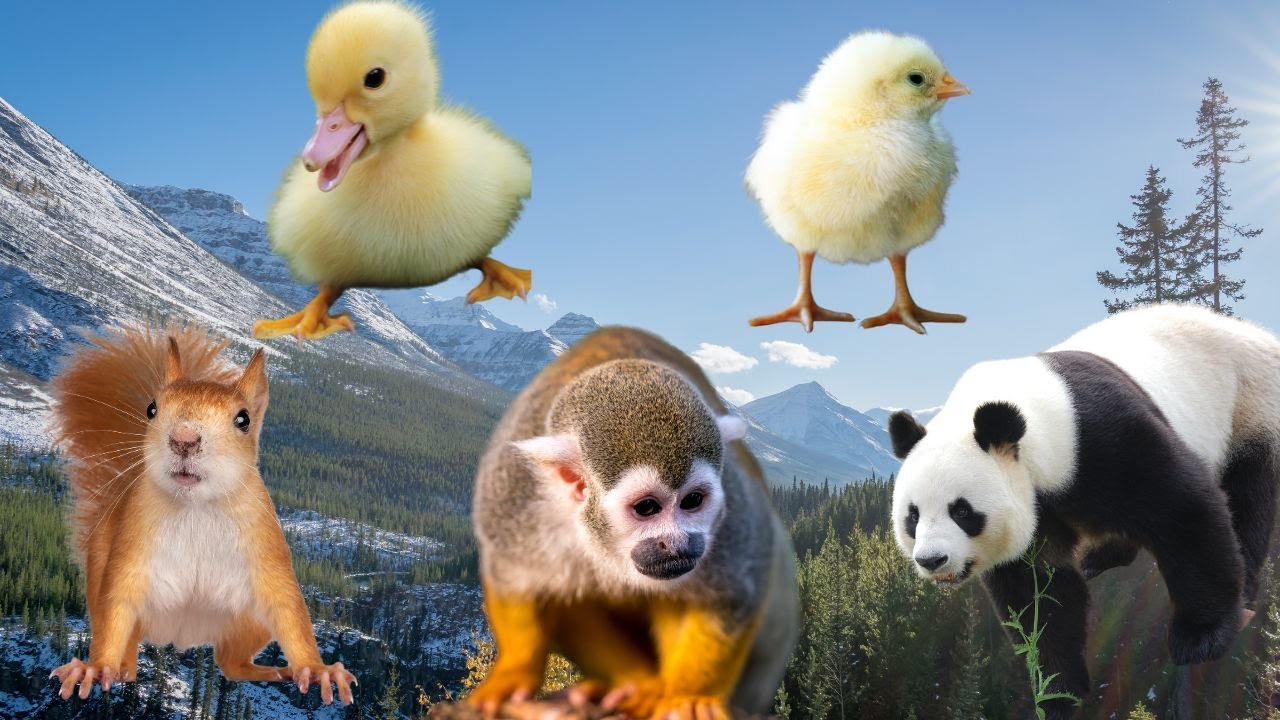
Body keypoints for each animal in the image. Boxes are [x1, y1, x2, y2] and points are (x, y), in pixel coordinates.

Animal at [889, 304, 1280, 719]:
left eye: (962, 511)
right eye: (912, 516)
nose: (932, 560)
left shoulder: (1102, 439)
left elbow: (1185, 510)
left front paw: (1201, 638)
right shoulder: (1040, 509)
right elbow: (1039, 593)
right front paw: (1056, 691)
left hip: (1248, 402)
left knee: (1245, 497)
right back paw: (1098, 559)